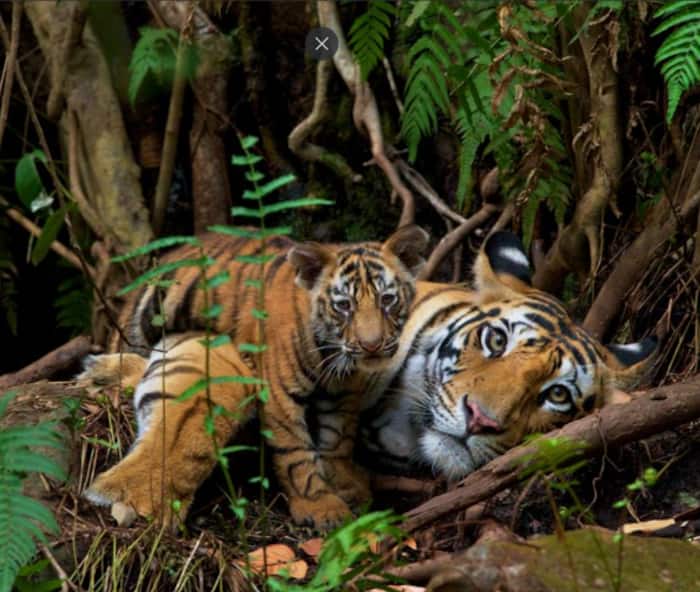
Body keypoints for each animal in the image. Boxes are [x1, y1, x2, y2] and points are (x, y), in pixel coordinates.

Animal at [81, 225, 429, 529]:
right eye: (343, 305)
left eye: (388, 299)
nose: (372, 345)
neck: (334, 355)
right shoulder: (279, 393)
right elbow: (295, 453)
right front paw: (320, 507)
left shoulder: (343, 393)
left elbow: (338, 438)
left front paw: (345, 484)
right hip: (142, 320)